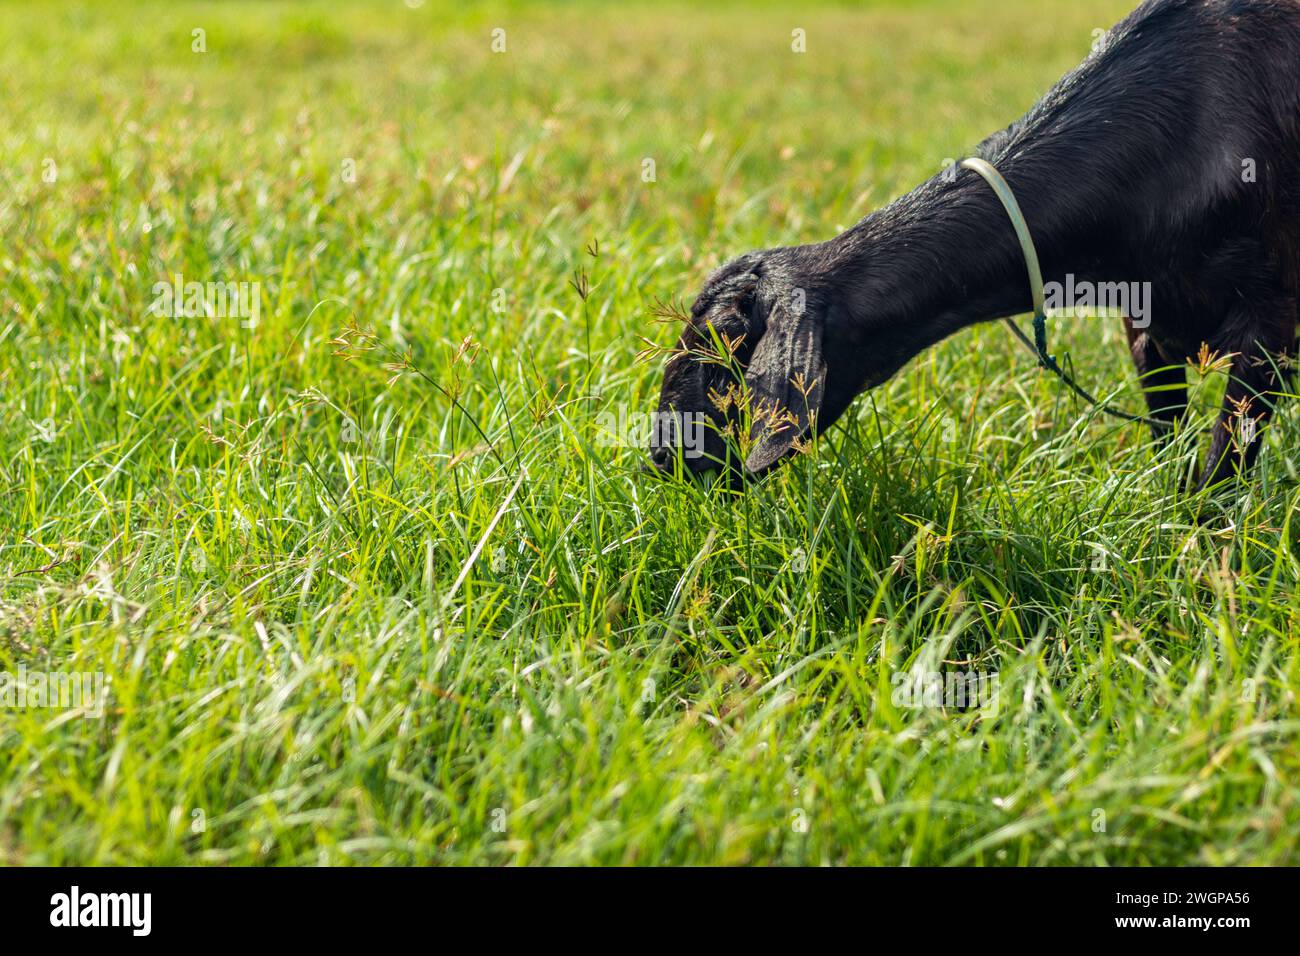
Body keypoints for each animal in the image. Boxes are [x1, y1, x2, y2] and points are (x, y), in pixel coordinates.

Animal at [648, 0, 1300, 491]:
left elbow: (1219, 477)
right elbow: (1172, 446)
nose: (660, 454)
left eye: (720, 361)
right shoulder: (1145, 325)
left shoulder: (1267, 328)